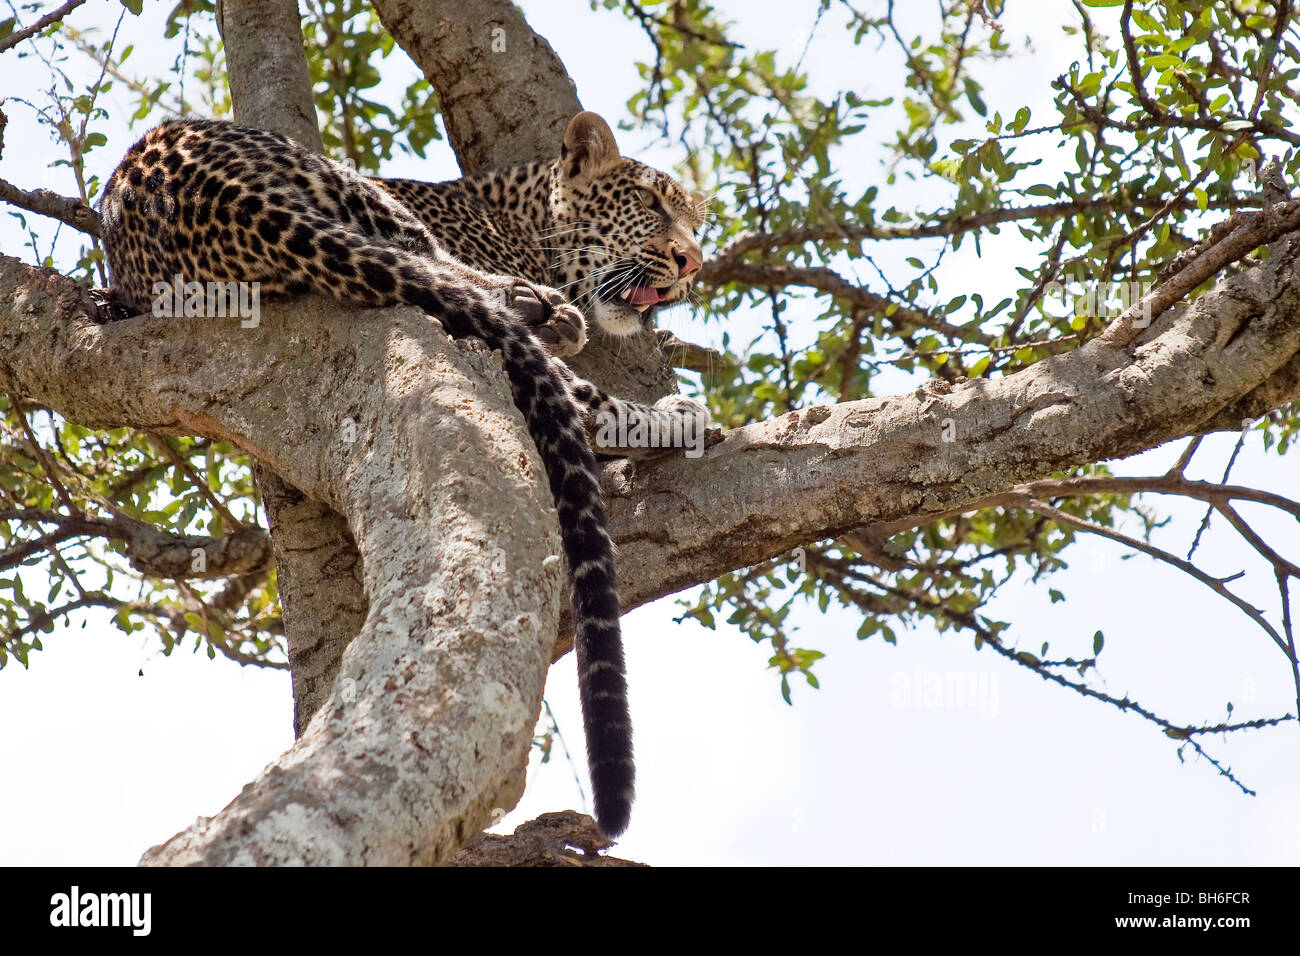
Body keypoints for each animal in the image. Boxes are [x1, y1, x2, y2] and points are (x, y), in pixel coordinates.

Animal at [97, 110, 710, 839]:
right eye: (650, 204)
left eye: (695, 225)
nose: (693, 263)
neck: (524, 218)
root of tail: (197, 192)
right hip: (367, 206)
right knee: (526, 346)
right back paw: (625, 379)